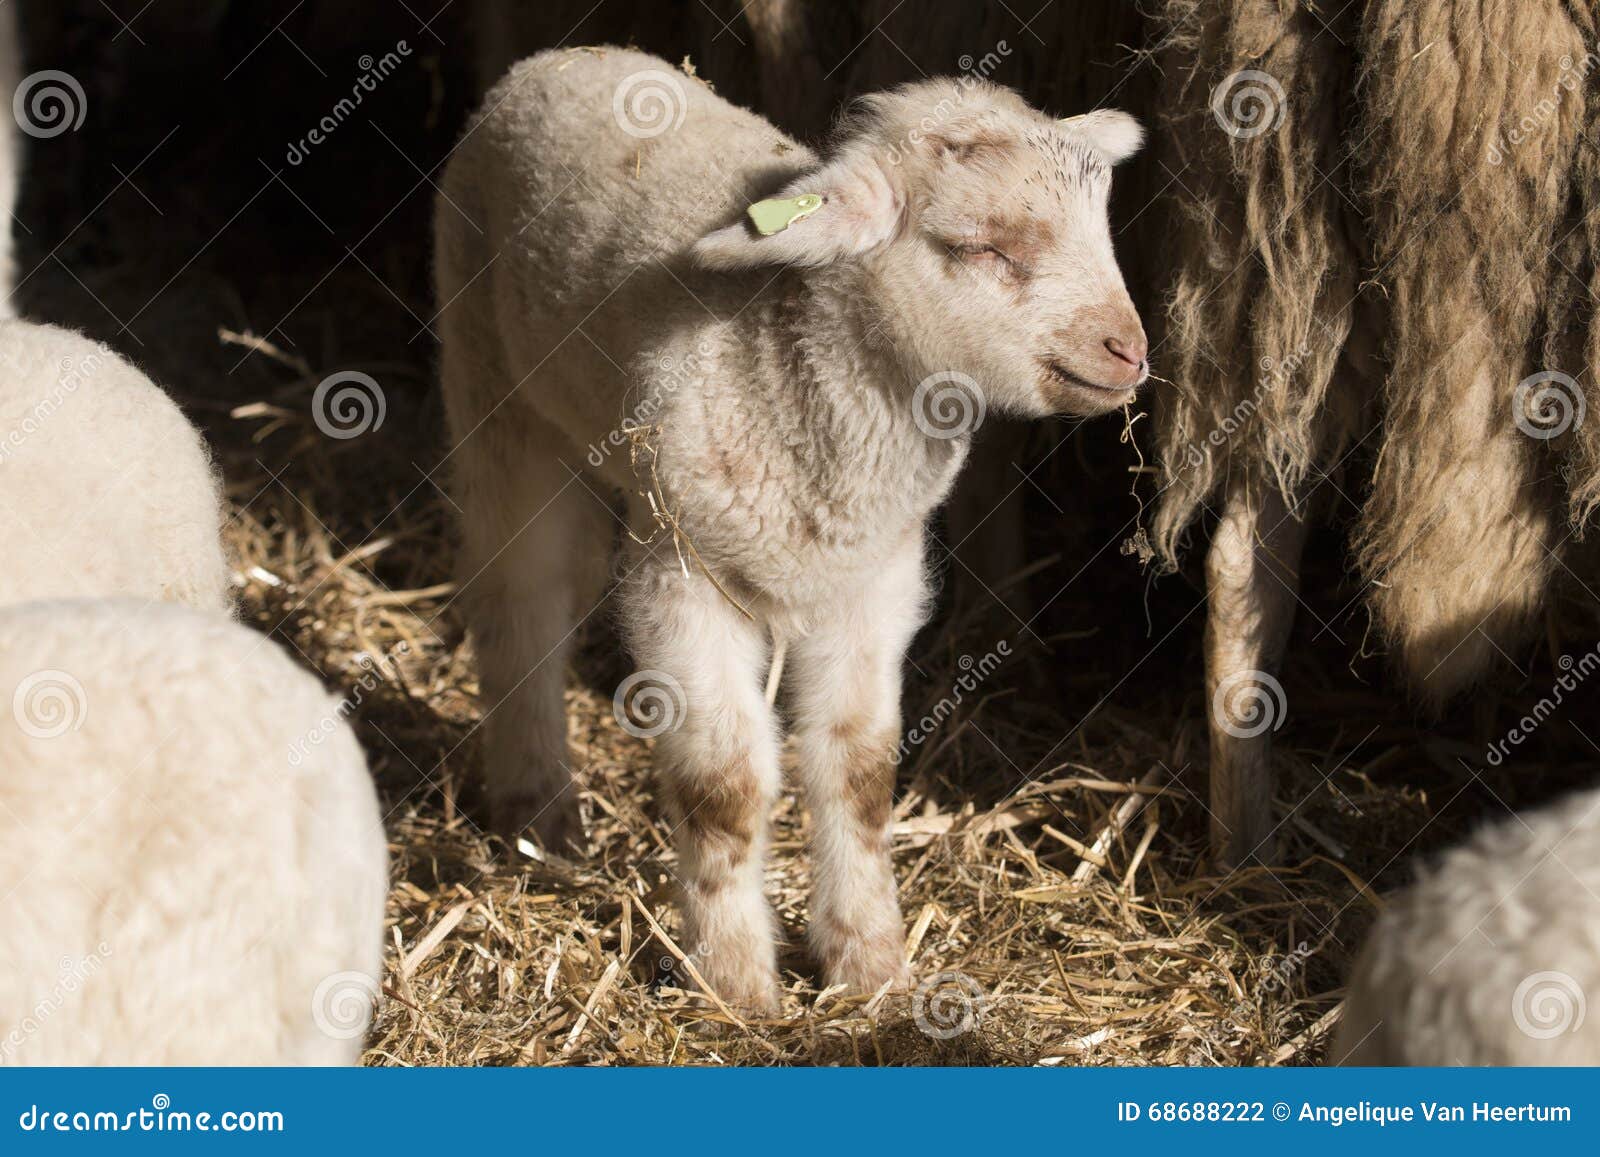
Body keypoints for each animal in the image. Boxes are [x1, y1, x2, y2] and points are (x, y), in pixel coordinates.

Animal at [437, 47, 1148, 1008]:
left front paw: (871, 966)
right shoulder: (683, 580)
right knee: (522, 593)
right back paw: (536, 811)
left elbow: (861, 775)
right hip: (494, 386)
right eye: (982, 247)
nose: (1131, 350)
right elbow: (725, 787)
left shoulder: (872, 582)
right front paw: (737, 987)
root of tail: (558, 59)